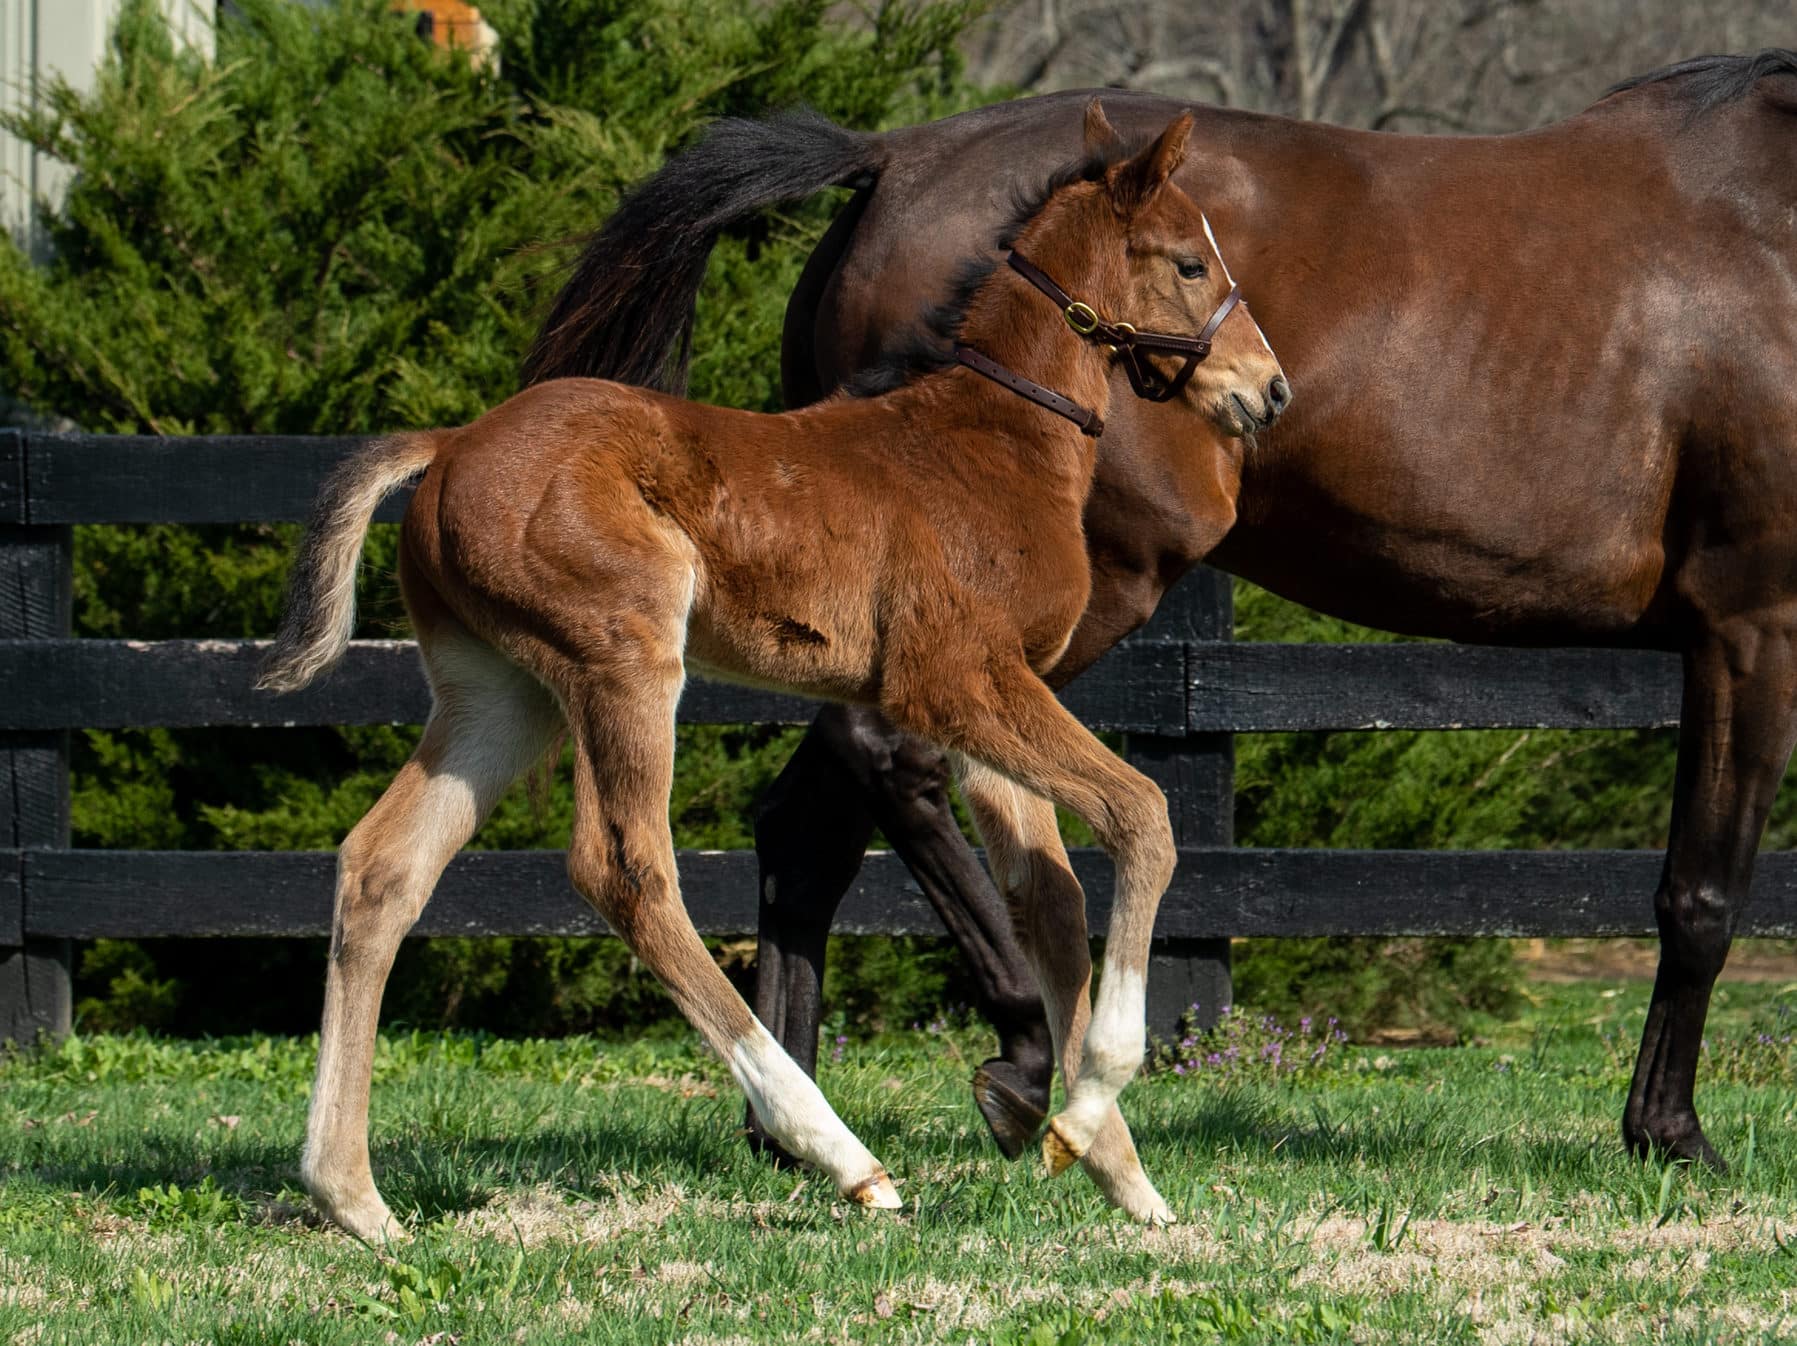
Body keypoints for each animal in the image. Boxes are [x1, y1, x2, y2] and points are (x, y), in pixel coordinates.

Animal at [260, 106, 1286, 1242]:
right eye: (1190, 261)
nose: (1268, 389)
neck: (994, 444)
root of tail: (447, 449)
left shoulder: (995, 708)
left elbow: (1051, 900)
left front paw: (1108, 1161)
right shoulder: (953, 682)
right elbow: (1143, 812)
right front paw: (1096, 1090)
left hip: (500, 696)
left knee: (382, 867)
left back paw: (353, 1197)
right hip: (623, 660)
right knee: (624, 870)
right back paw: (840, 1153)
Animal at [523, 49, 1797, 1186]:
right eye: (1184, 261)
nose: (1267, 388)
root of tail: (892, 160)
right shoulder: (1753, 623)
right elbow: (1703, 890)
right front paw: (1672, 1134)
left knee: (809, 824)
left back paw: (793, 1124)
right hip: (1059, 602)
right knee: (897, 762)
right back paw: (1020, 1058)